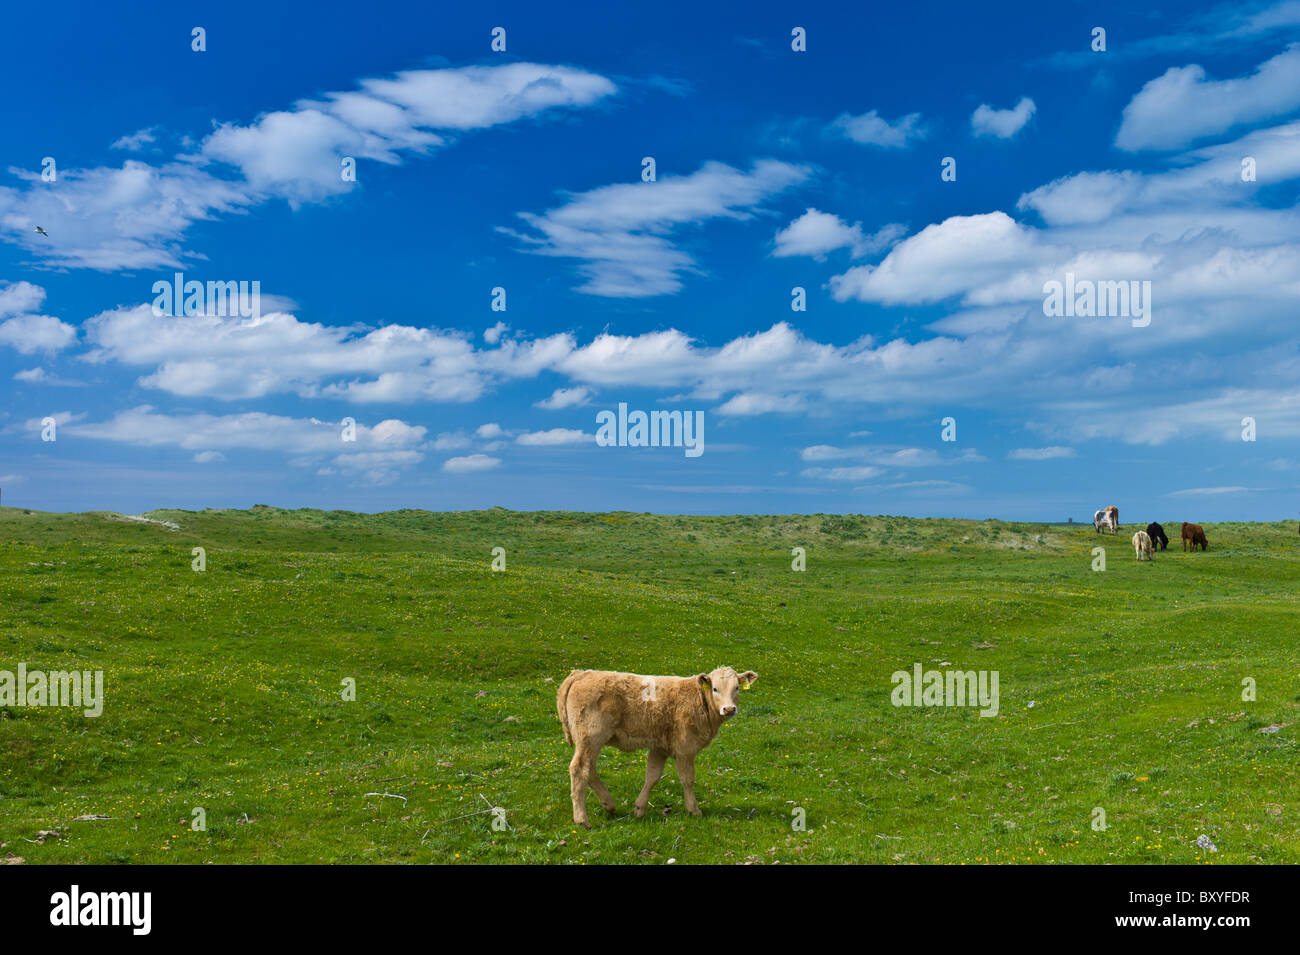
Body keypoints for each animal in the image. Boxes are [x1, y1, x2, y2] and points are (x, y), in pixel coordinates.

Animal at [557, 666, 757, 828]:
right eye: (715, 689)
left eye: (736, 688)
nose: (729, 709)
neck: (700, 701)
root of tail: (581, 673)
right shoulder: (685, 748)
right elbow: (687, 779)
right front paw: (694, 809)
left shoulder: (659, 747)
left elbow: (652, 777)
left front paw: (639, 808)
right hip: (591, 737)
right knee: (579, 769)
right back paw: (582, 819)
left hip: (589, 742)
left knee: (589, 769)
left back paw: (609, 804)